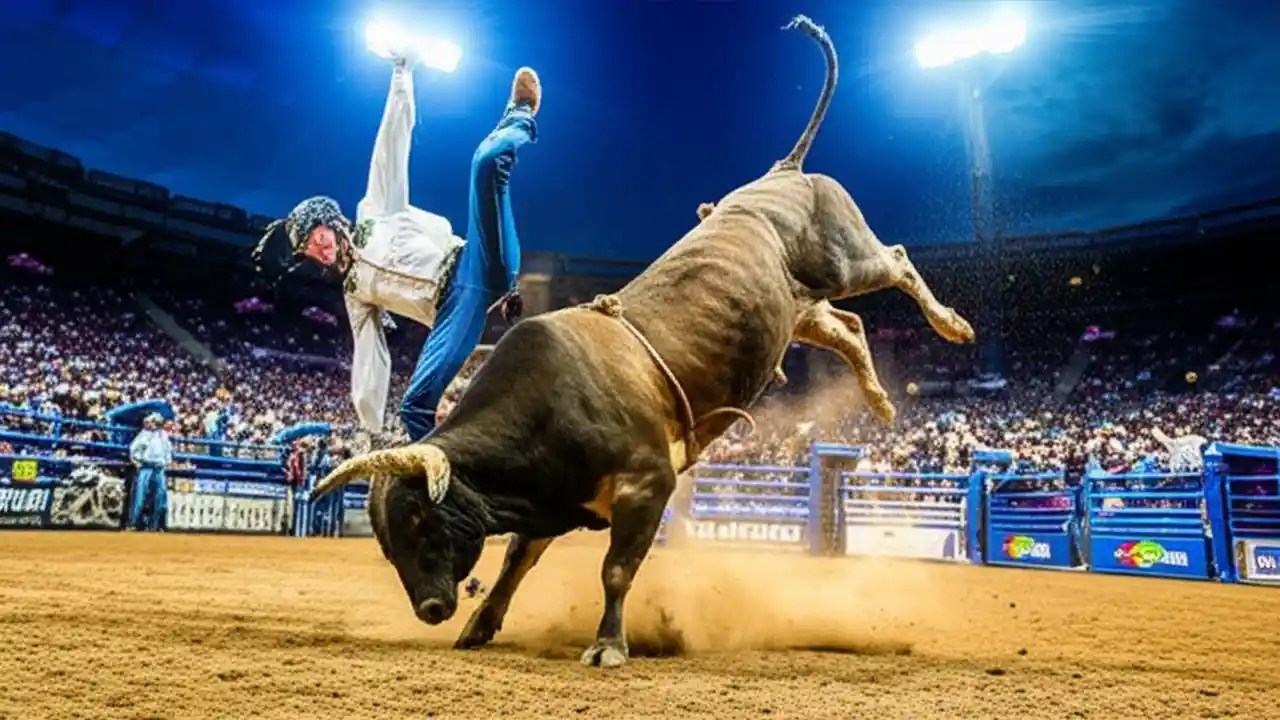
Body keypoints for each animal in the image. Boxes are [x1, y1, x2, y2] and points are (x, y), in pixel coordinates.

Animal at [310, 14, 974, 669]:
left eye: (419, 519)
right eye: (387, 541)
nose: (429, 608)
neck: (548, 409)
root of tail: (783, 172)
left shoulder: (647, 484)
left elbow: (616, 570)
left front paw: (607, 644)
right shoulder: (556, 499)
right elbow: (515, 562)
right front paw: (481, 624)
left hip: (844, 256)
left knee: (896, 259)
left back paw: (952, 326)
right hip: (799, 309)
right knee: (849, 328)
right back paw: (880, 398)